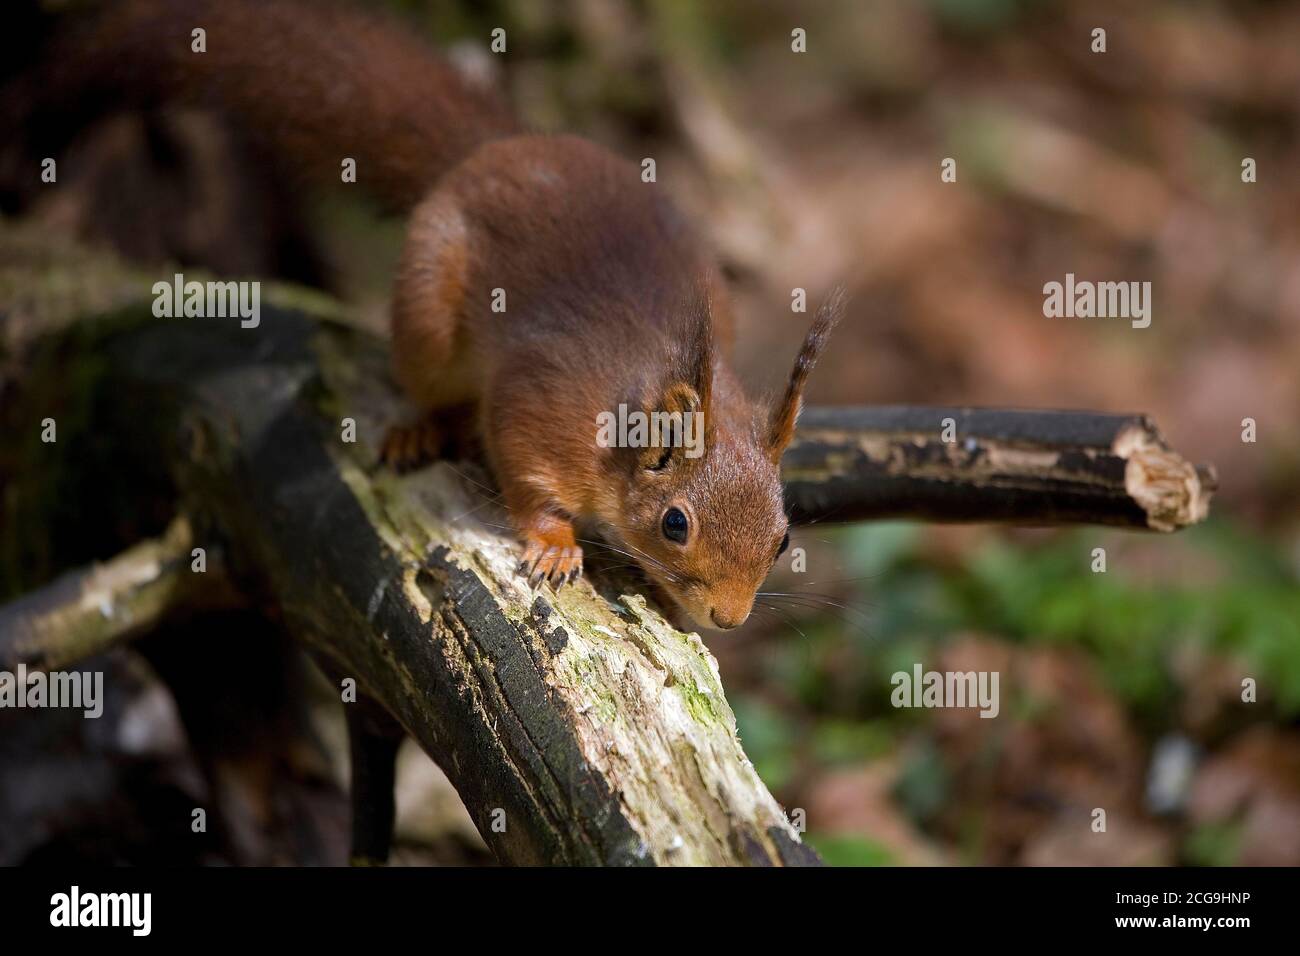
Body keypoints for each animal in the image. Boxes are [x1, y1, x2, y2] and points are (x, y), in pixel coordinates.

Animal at [13, 0, 842, 631]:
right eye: (675, 523)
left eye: (782, 538)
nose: (729, 619)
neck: (629, 413)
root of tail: (500, 151)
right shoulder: (543, 406)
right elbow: (524, 471)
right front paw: (554, 543)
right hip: (427, 316)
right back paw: (421, 428)